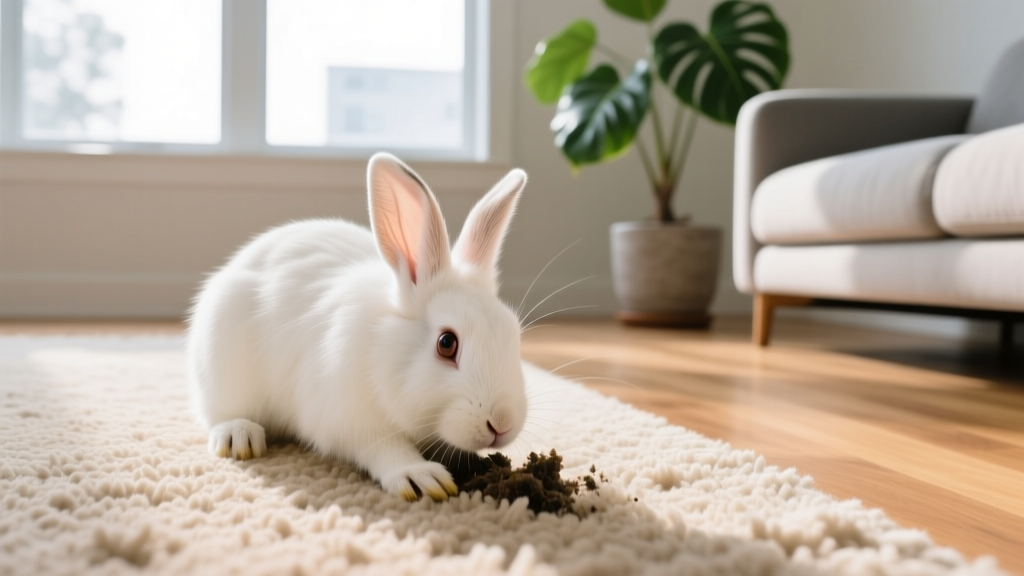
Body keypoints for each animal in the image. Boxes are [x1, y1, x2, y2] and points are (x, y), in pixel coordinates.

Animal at [186, 153, 529, 501]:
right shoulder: (349, 418)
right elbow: (384, 448)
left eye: (514, 334)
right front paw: (421, 478)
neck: (383, 347)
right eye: (447, 343)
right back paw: (239, 435)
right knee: (216, 414)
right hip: (221, 364)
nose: (502, 423)